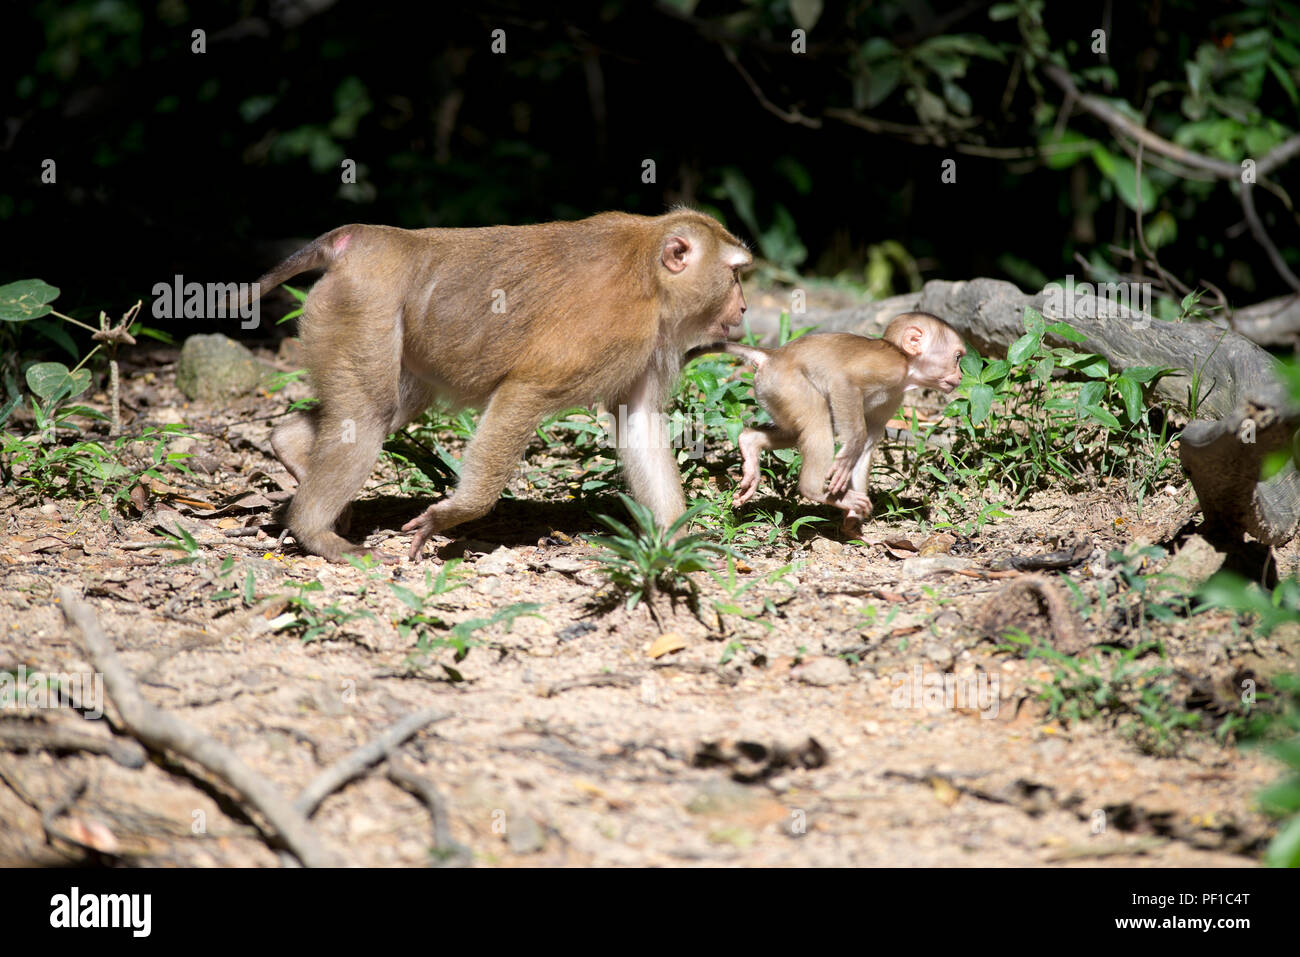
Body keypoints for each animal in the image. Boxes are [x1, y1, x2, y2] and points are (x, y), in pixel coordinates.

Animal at [245, 210, 752, 562]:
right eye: (734, 274)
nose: (745, 308)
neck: (653, 278)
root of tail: (368, 237)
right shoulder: (616, 328)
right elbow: (523, 394)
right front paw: (454, 514)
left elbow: (639, 423)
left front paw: (678, 542)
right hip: (362, 304)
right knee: (369, 415)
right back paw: (315, 532)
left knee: (392, 407)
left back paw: (289, 447)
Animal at [687, 312, 965, 536]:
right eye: (957, 358)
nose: (961, 376)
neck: (907, 366)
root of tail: (773, 355)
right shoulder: (889, 368)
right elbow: (844, 383)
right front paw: (849, 458)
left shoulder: (894, 397)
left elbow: (869, 440)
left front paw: (853, 520)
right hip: (785, 383)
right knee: (817, 418)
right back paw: (814, 490)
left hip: (771, 391)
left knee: (798, 429)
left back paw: (750, 443)